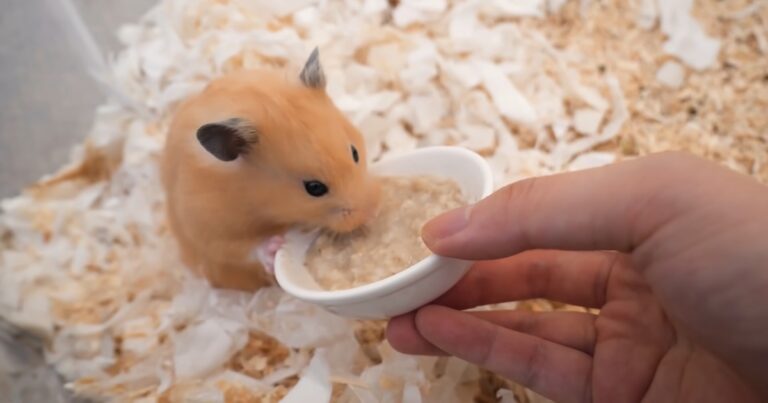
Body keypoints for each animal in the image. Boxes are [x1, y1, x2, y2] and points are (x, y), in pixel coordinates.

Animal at [161, 49, 381, 291]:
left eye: (355, 153)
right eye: (314, 188)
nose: (371, 212)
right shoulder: (206, 225)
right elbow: (238, 248)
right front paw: (275, 246)